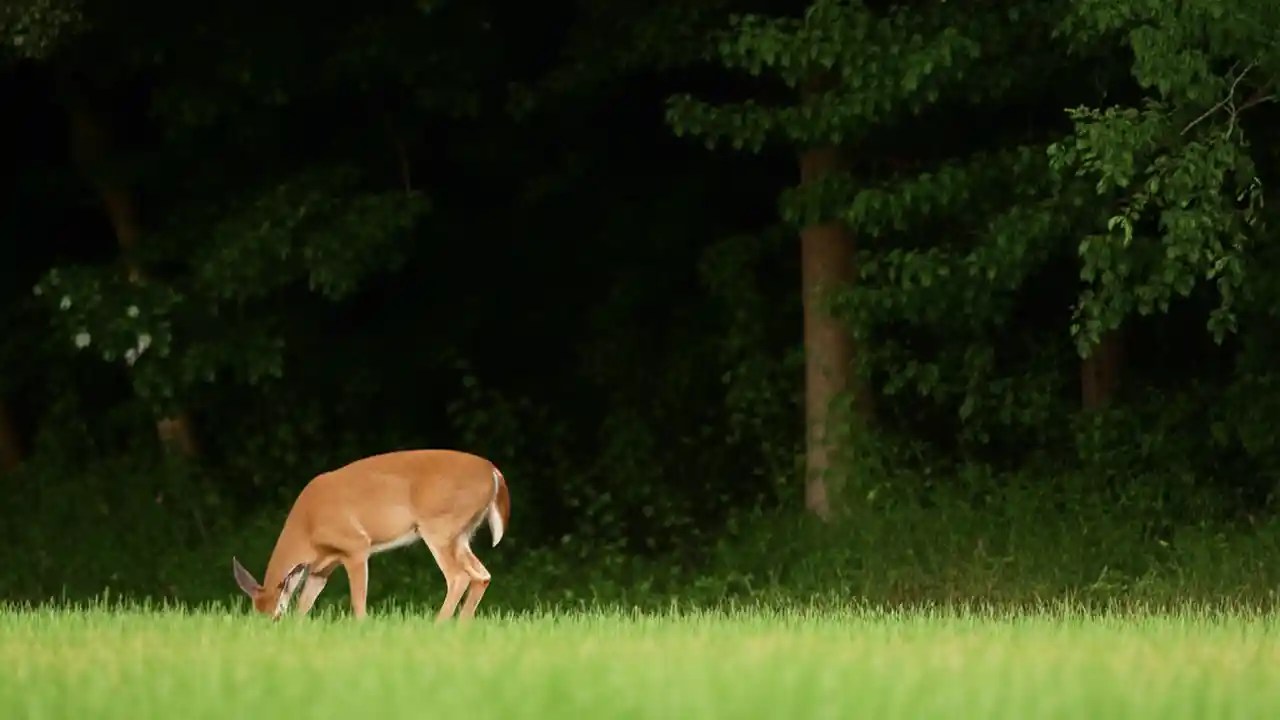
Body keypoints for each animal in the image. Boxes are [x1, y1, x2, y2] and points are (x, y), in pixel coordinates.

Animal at [231, 448, 510, 622]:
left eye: (274, 618)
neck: (307, 528)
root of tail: (494, 473)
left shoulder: (356, 545)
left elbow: (358, 602)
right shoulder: (322, 568)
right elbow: (303, 606)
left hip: (439, 526)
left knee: (458, 576)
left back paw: (438, 624)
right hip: (460, 535)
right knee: (482, 574)